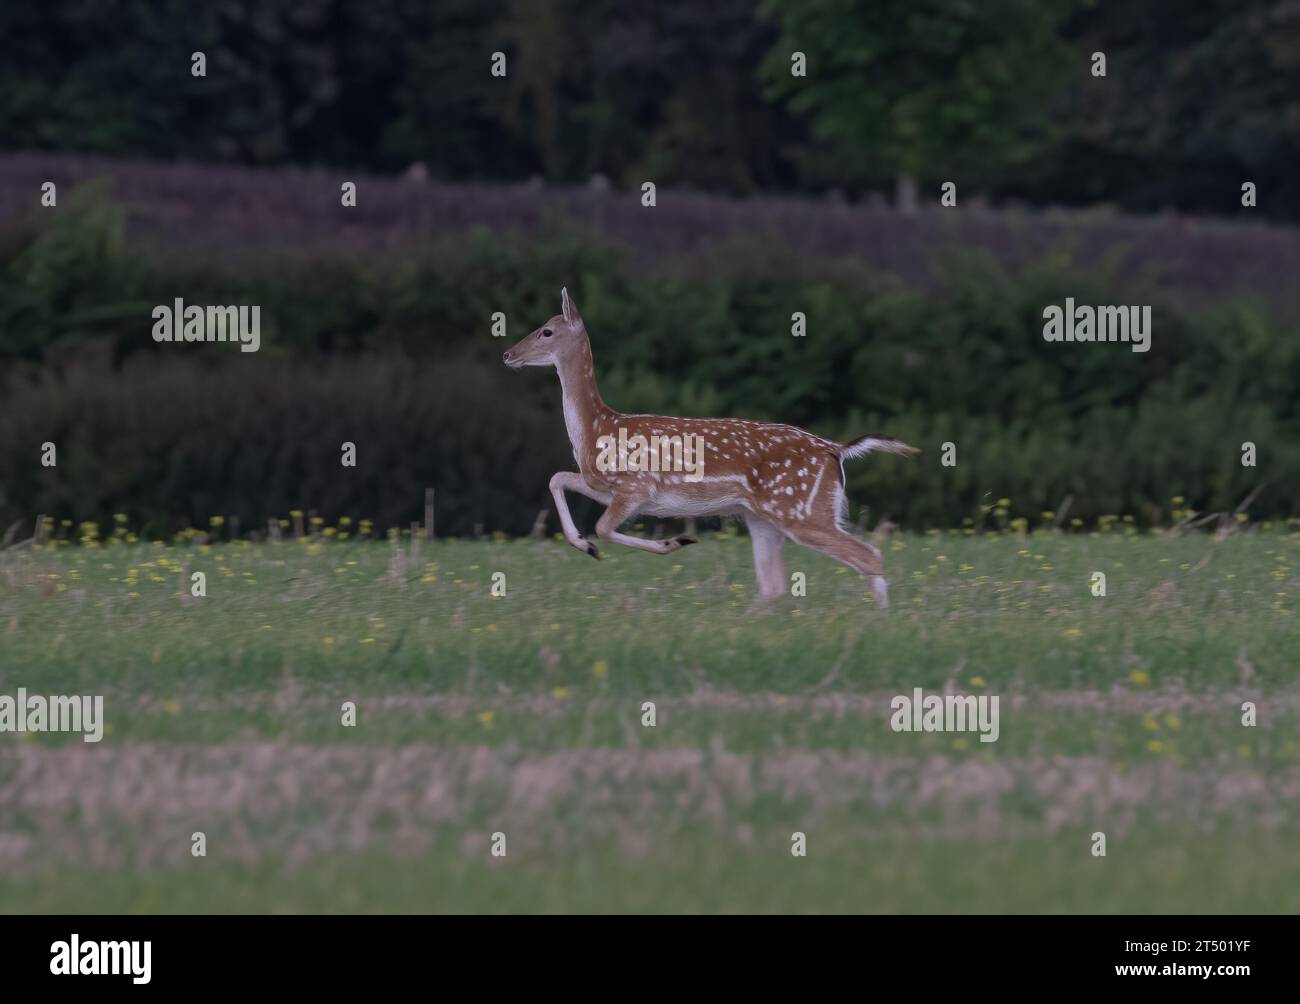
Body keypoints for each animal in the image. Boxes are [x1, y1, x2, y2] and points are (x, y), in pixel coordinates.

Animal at [502, 289, 918, 607]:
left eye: (546, 331)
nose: (508, 354)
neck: (595, 428)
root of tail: (835, 448)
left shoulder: (637, 485)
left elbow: (603, 527)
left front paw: (672, 542)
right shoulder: (600, 483)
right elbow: (557, 478)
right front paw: (586, 546)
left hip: (800, 508)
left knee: (867, 555)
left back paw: (878, 623)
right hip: (764, 516)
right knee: (773, 586)